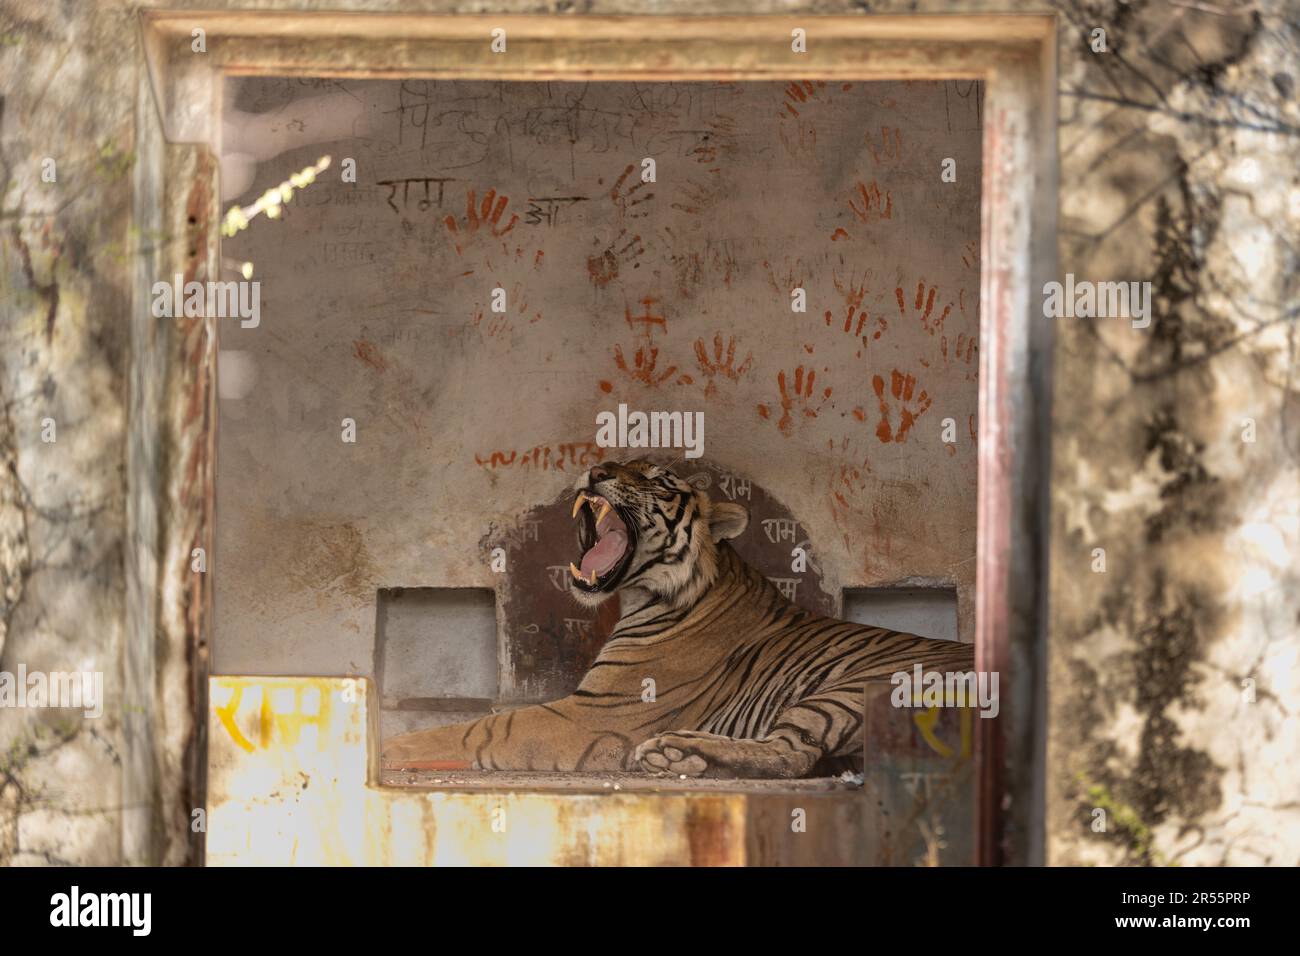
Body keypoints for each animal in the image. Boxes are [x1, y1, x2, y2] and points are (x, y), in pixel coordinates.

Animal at [381, 458, 976, 778]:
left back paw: (680, 751)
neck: (642, 597)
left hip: (859, 688)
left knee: (792, 754)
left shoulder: (588, 716)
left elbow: (474, 729)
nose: (595, 470)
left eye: (662, 481)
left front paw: (387, 750)